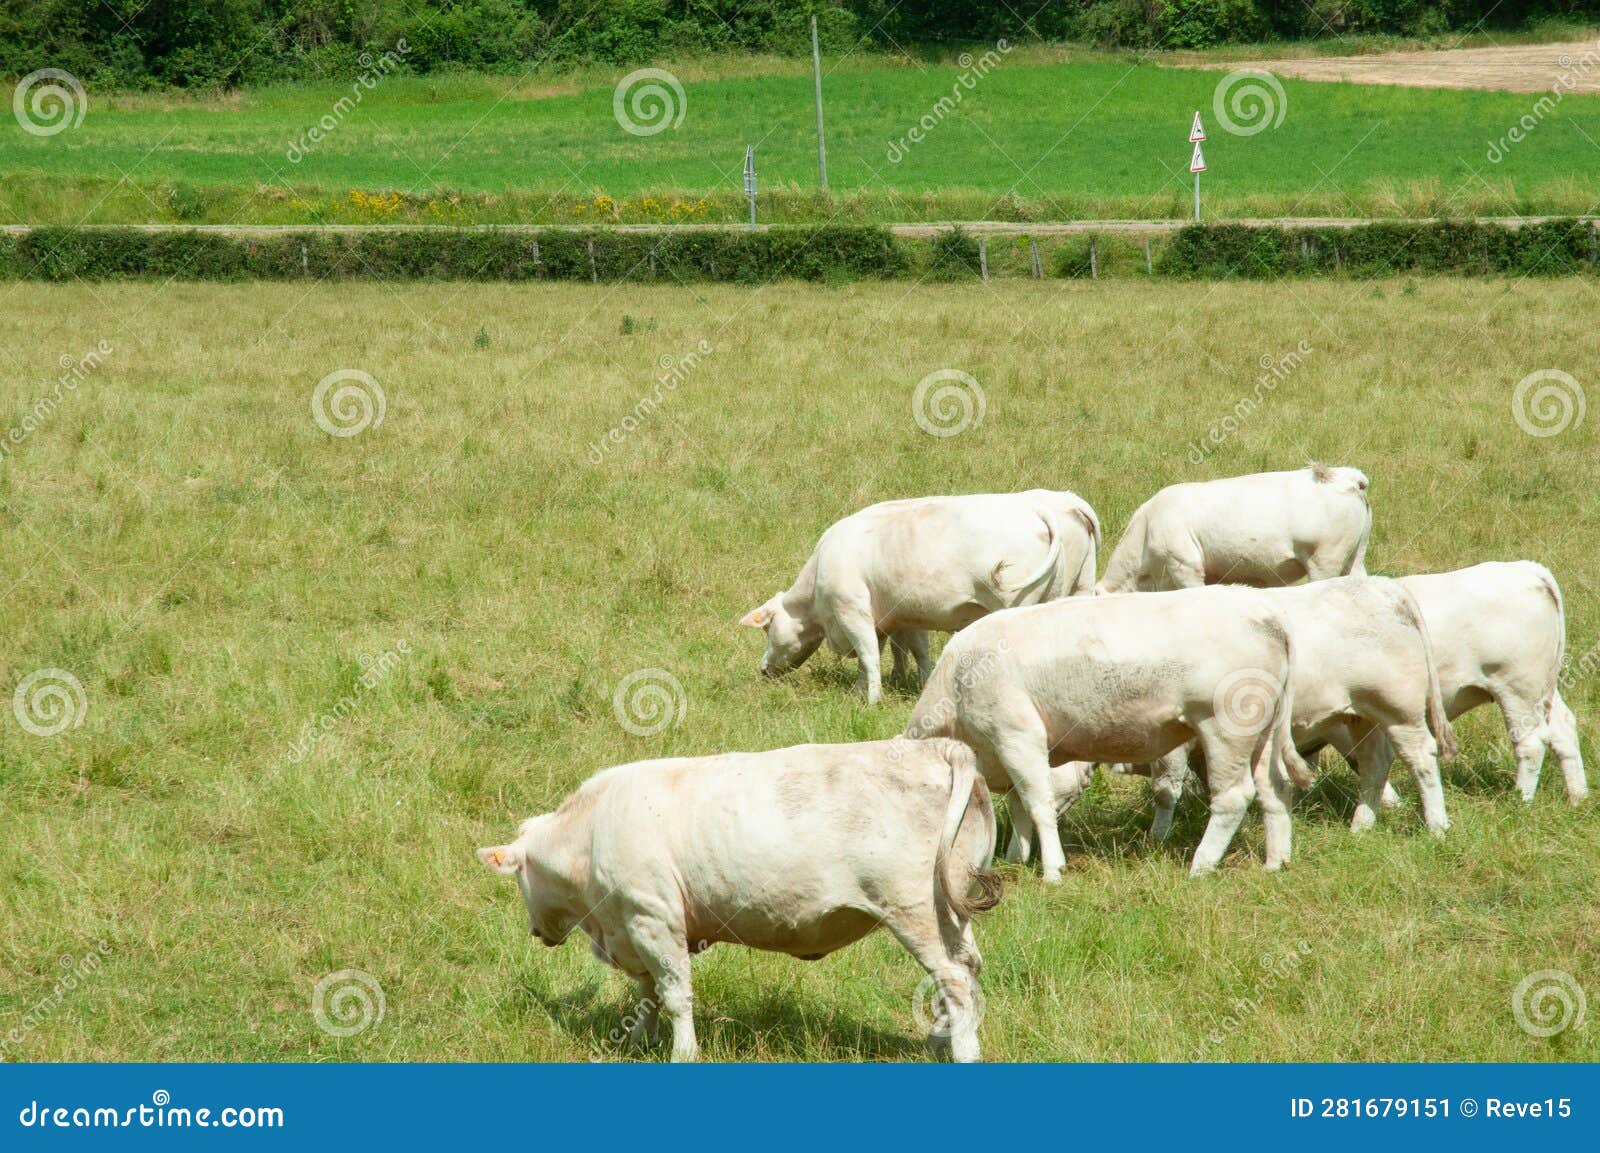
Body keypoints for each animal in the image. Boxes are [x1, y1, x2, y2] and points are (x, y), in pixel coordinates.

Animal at [477, 738, 1002, 1062]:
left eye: (519, 876)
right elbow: (646, 994)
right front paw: (640, 1041)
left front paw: (682, 1052)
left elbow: (673, 994)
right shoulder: (633, 926)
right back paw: (940, 1041)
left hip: (914, 909)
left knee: (953, 980)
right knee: (968, 970)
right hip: (950, 911)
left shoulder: (653, 918)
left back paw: (963, 1052)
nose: (536, 932)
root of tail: (939, 746)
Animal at [740, 490, 1100, 705]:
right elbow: (911, 651)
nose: (763, 669)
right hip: (1078, 591)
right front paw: (908, 685)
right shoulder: (903, 615)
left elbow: (869, 655)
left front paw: (871, 701)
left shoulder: (852, 611)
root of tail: (1049, 504)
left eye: (766, 627)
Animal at [904, 585, 1313, 881]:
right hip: (1264, 734)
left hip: (1224, 727)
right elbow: (1020, 805)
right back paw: (1276, 862)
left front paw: (1052, 870)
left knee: (1233, 797)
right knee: (1275, 789)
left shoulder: (1017, 735)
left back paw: (1201, 865)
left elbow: (1037, 804)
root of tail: (1263, 609)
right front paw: (1016, 857)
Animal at [1141, 577, 1458, 851]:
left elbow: (1165, 791)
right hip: (1360, 716)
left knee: (1420, 757)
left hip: (1398, 708)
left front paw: (1158, 838)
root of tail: (1385, 585)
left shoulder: (1175, 742)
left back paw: (1436, 827)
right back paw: (1361, 826)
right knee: (1374, 762)